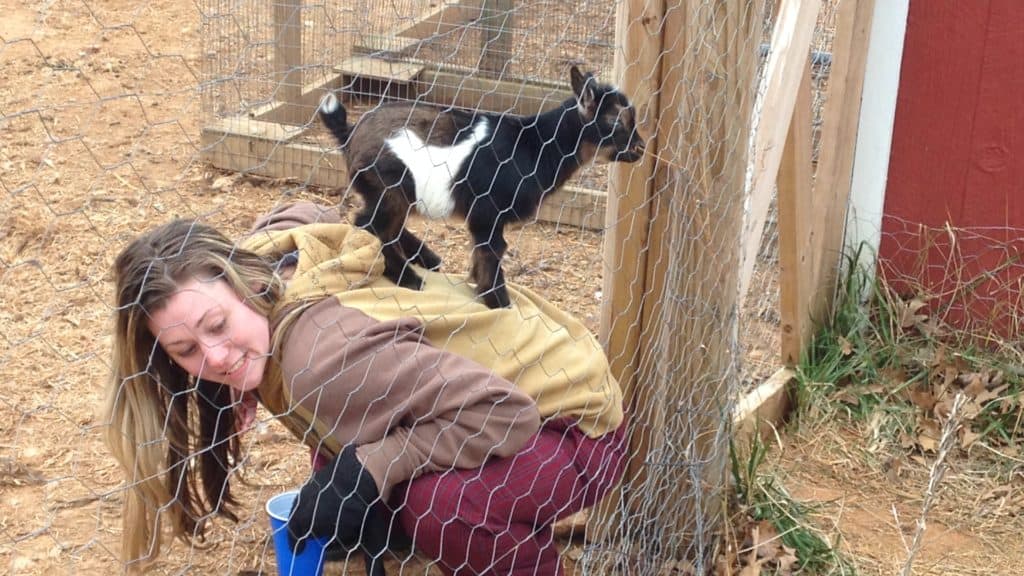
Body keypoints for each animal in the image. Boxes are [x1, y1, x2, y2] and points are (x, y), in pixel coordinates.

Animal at [318, 65, 646, 309]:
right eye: (616, 122)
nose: (641, 148)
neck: (536, 145)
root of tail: (351, 133)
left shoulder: (485, 216)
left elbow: (485, 251)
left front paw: (481, 287)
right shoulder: (488, 211)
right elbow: (492, 250)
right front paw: (498, 301)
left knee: (384, 225)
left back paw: (427, 258)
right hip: (390, 185)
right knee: (369, 224)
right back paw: (409, 277)